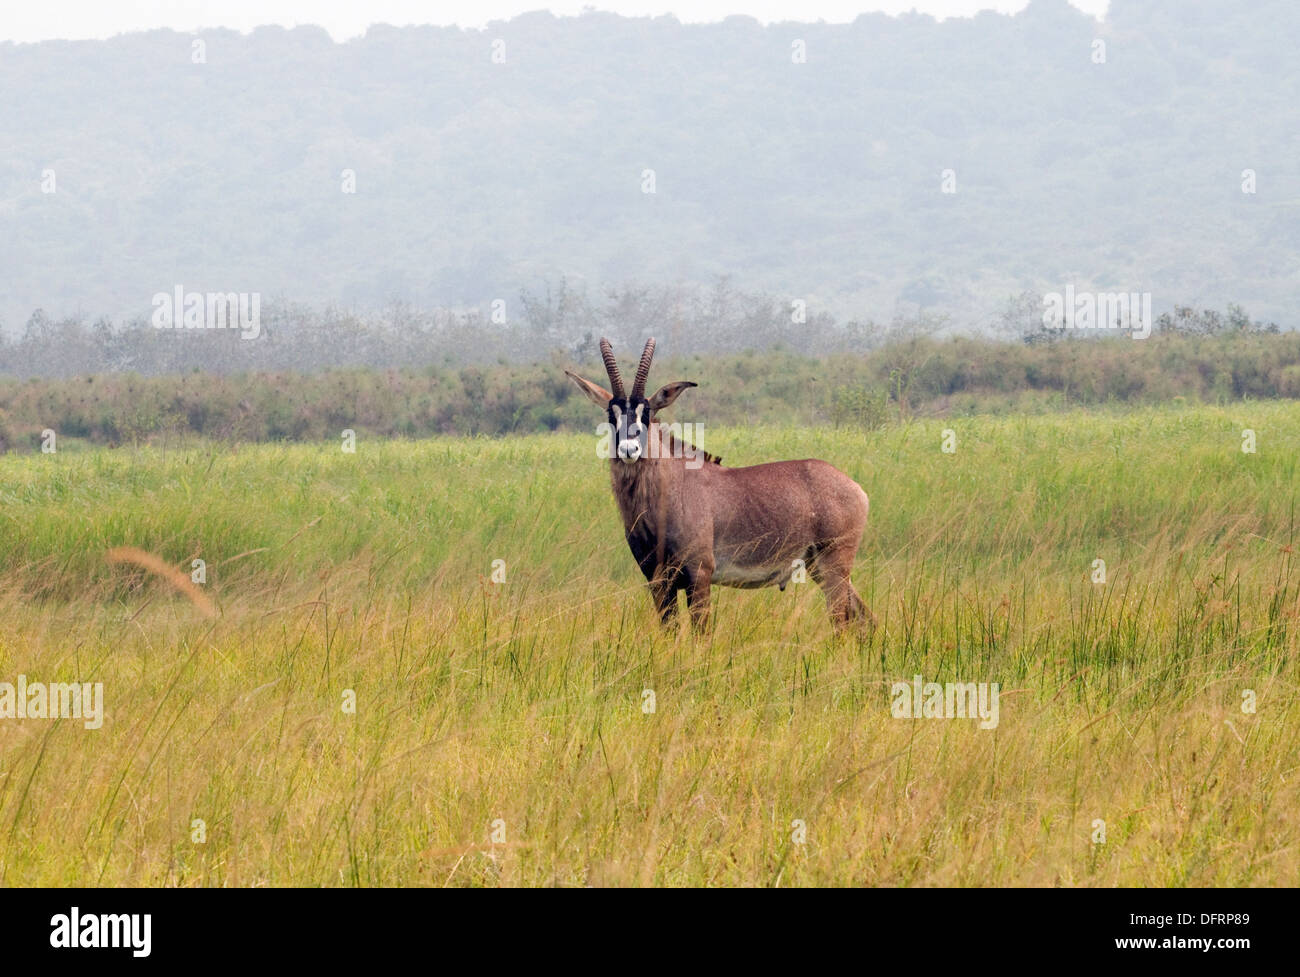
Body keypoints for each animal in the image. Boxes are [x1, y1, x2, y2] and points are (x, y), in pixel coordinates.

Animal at [566, 337, 875, 632]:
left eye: (647, 413)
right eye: (611, 414)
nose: (629, 450)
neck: (669, 490)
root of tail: (856, 489)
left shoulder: (699, 575)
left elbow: (700, 635)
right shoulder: (657, 580)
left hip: (834, 564)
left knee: (842, 622)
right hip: (819, 568)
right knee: (863, 619)